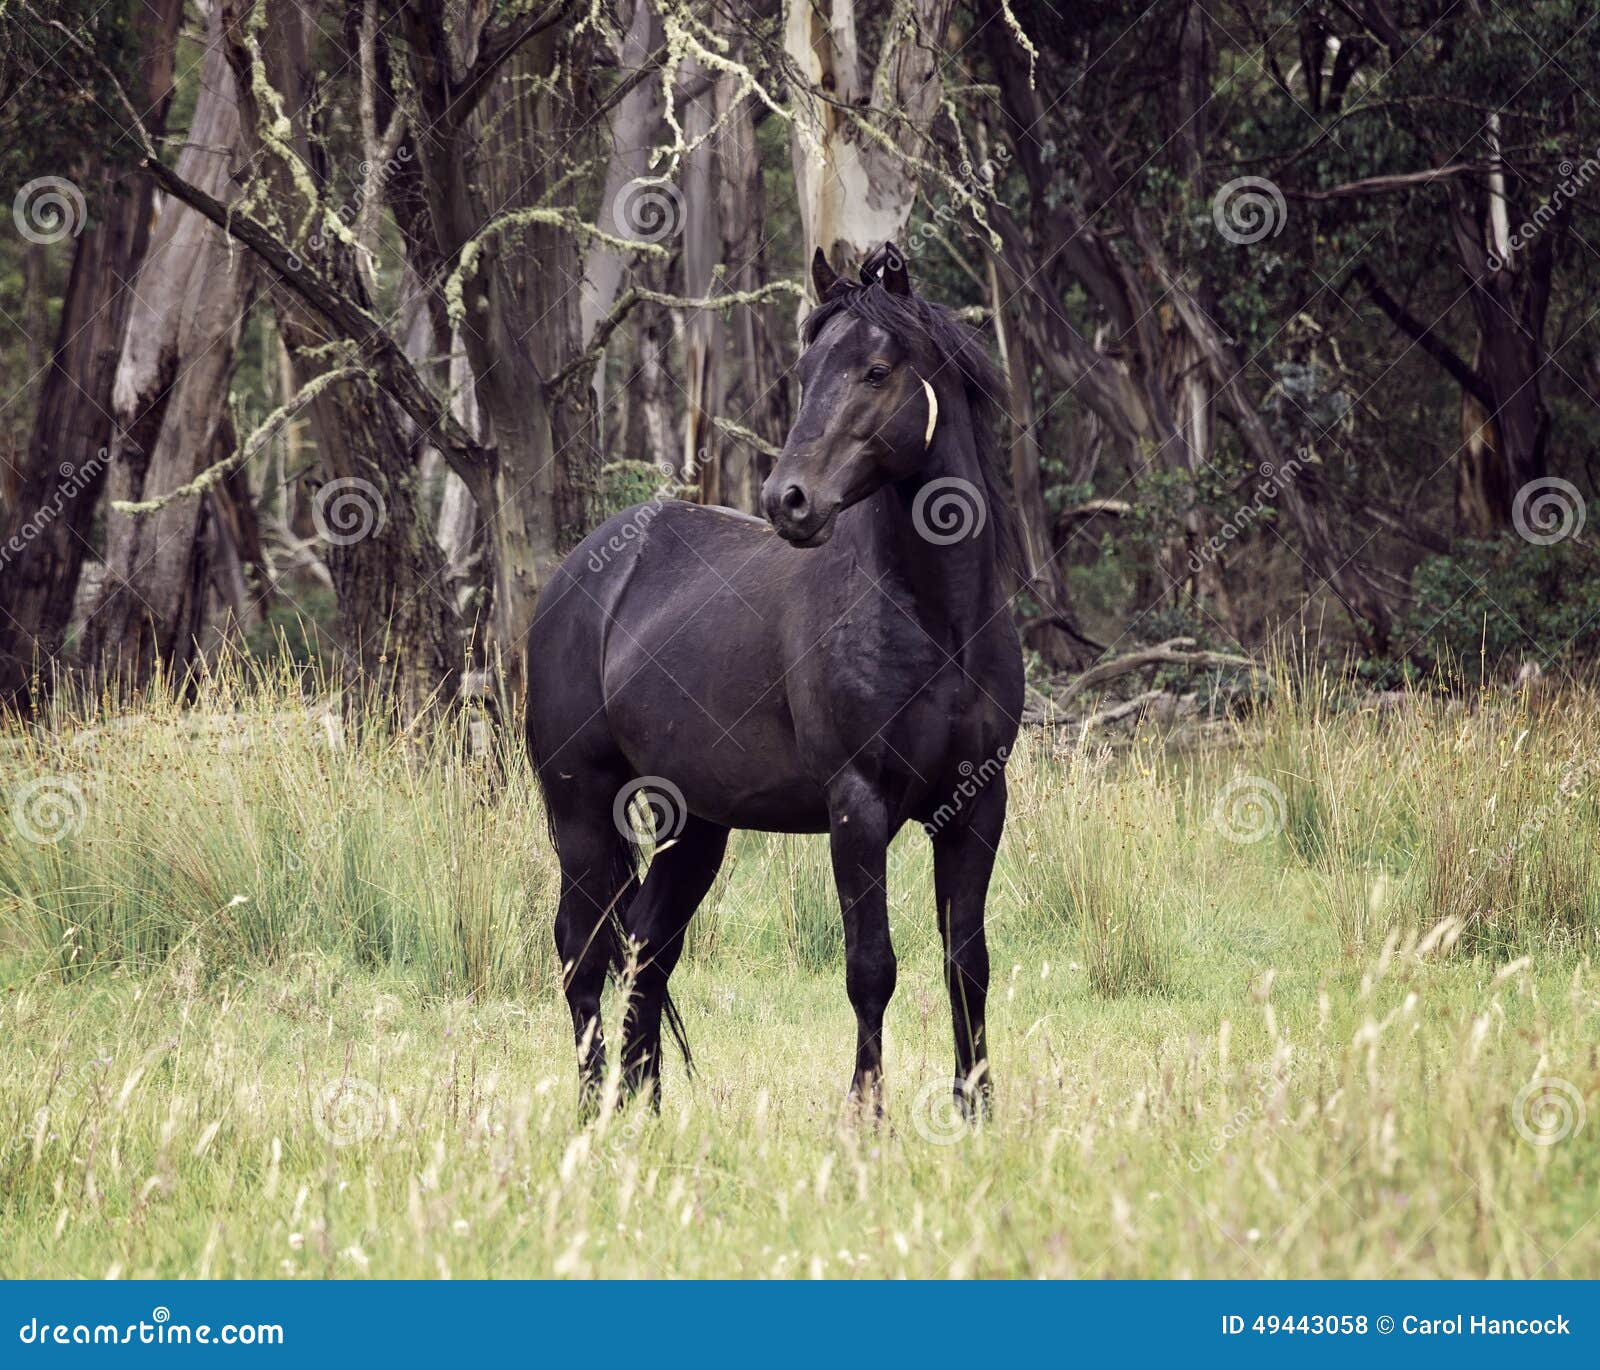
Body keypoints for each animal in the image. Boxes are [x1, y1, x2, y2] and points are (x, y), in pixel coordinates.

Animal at [525, 243, 1023, 1118]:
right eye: (805, 369)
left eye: (877, 370)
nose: (789, 501)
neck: (938, 622)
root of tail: (573, 579)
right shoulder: (857, 805)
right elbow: (871, 969)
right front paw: (867, 1118)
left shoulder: (976, 803)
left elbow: (968, 965)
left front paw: (977, 1114)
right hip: (580, 811)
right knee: (582, 952)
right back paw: (594, 1109)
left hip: (696, 825)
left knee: (648, 948)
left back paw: (645, 1110)